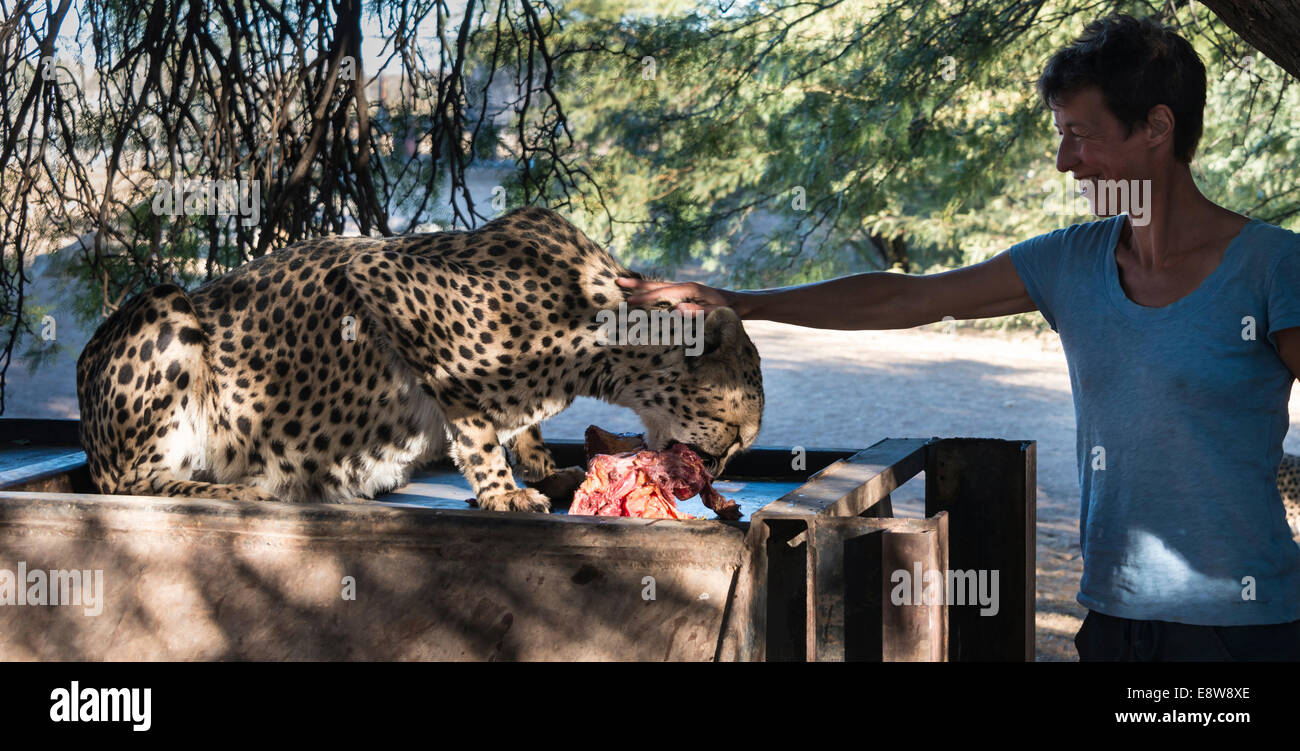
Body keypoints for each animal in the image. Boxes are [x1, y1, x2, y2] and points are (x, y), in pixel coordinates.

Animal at [75, 206, 764, 513]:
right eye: (736, 430)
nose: (716, 467)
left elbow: (523, 424)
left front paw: (544, 470)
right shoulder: (380, 273)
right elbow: (474, 418)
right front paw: (502, 491)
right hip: (166, 307)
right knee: (129, 482)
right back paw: (233, 489)